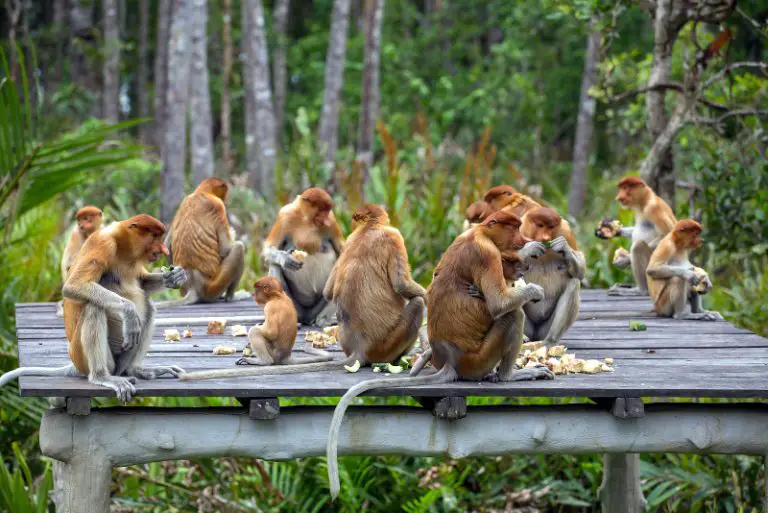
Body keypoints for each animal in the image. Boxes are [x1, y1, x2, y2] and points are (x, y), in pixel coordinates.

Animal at [0, 215, 188, 401]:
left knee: (149, 306)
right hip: (84, 357)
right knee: (94, 307)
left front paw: (175, 276)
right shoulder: (103, 244)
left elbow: (143, 283)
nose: (164, 250)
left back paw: (135, 370)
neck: (123, 246)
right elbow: (74, 286)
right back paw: (102, 376)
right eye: (154, 237)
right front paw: (129, 313)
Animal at [155, 177, 248, 308]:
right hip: (211, 287)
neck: (201, 192)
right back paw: (231, 297)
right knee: (239, 247)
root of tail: (193, 285)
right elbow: (226, 248)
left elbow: (167, 244)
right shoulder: (218, 206)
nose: (226, 197)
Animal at [180, 204, 423, 382]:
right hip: (386, 345)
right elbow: (402, 285)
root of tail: (360, 350)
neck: (369, 228)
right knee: (417, 304)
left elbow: (329, 288)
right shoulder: (394, 237)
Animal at [261, 188, 345, 327]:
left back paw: (322, 320)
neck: (306, 220)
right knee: (274, 266)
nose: (326, 221)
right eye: (322, 210)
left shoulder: (332, 222)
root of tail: (307, 316)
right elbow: (268, 249)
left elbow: (343, 249)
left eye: (328, 211)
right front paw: (286, 259)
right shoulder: (284, 216)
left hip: (317, 308)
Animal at [324, 210, 551, 499]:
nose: (521, 240)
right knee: (511, 315)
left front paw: (530, 250)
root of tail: (452, 362)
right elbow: (499, 304)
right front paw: (534, 290)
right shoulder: (486, 254)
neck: (479, 232)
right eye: (513, 228)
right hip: (477, 359)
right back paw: (508, 376)